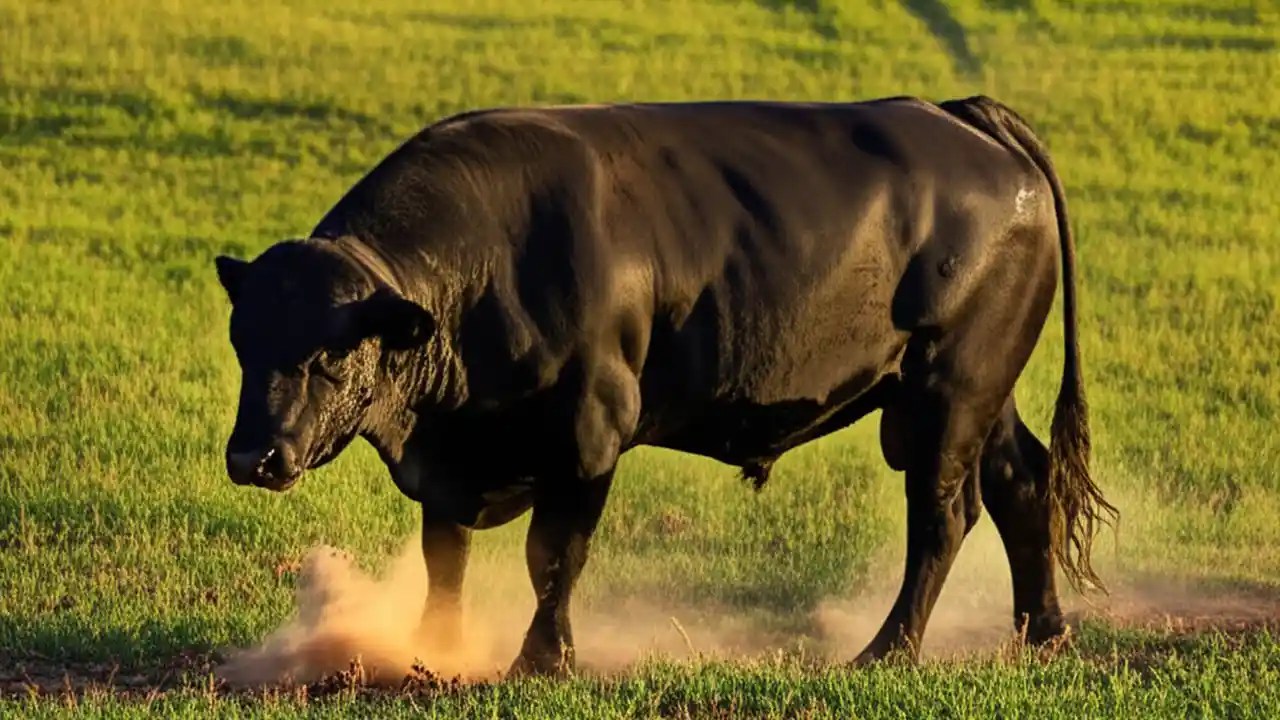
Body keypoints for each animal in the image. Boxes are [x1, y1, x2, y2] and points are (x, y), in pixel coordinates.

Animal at [212, 94, 1118, 677]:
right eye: (243, 342)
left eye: (332, 355)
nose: (255, 457)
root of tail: (964, 116)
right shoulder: (450, 455)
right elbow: (446, 558)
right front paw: (434, 652)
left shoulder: (588, 438)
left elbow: (553, 555)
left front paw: (542, 662)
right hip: (983, 394)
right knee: (1022, 483)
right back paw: (1041, 632)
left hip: (946, 396)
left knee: (943, 515)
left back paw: (886, 652)